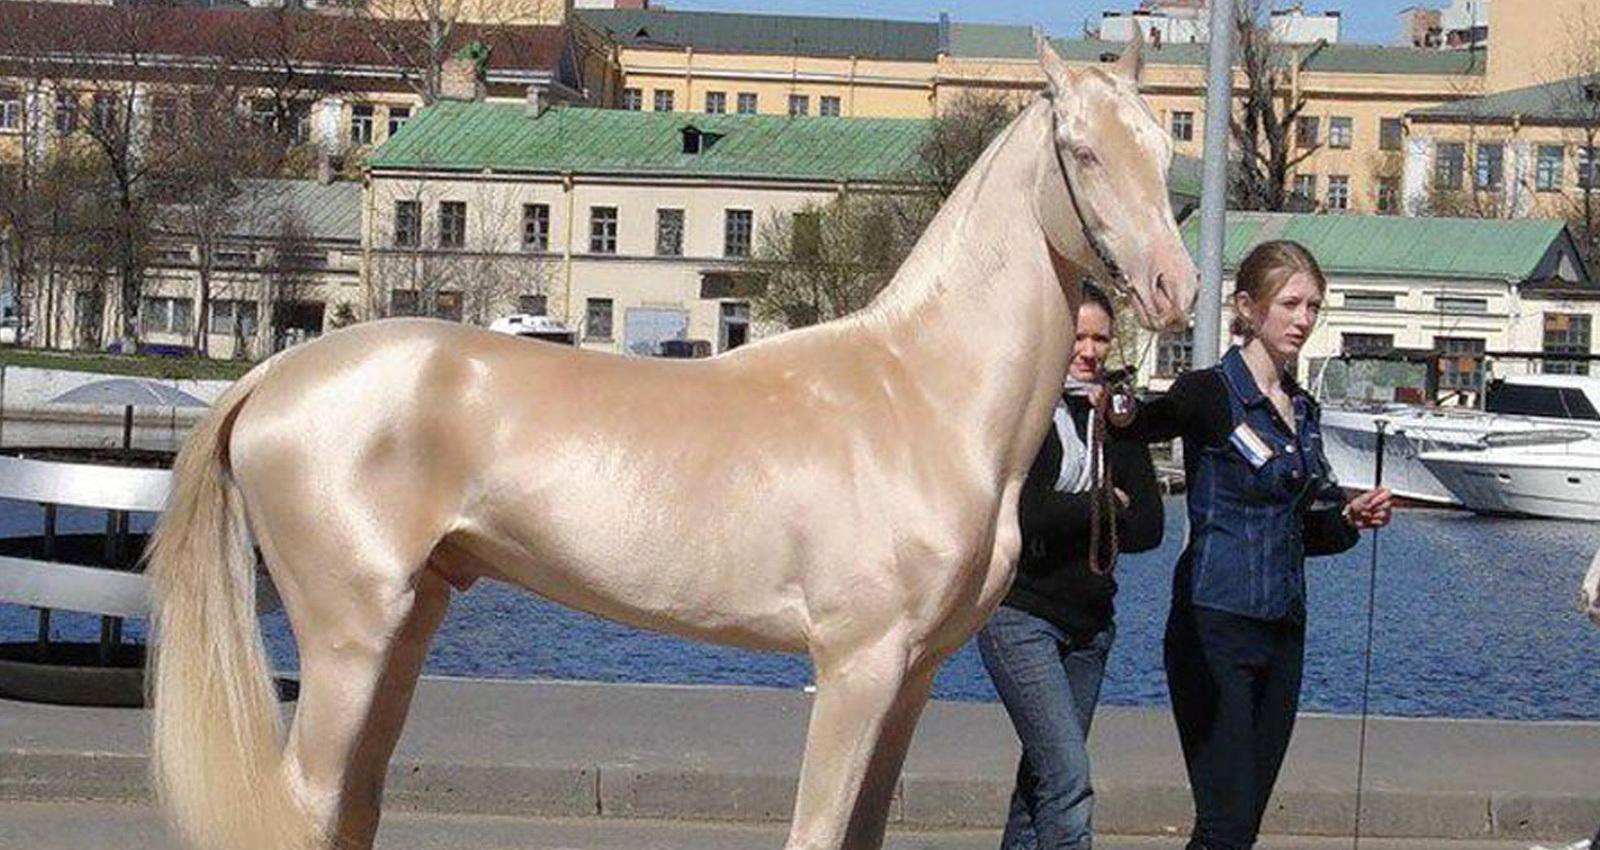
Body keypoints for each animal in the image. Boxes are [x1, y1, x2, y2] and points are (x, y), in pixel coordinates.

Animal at [146, 34, 1196, 850]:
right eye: (1081, 152)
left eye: (1160, 144)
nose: (1175, 288)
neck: (920, 394)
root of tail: (272, 377)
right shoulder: (857, 666)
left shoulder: (913, 677)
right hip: (349, 637)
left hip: (407, 628)